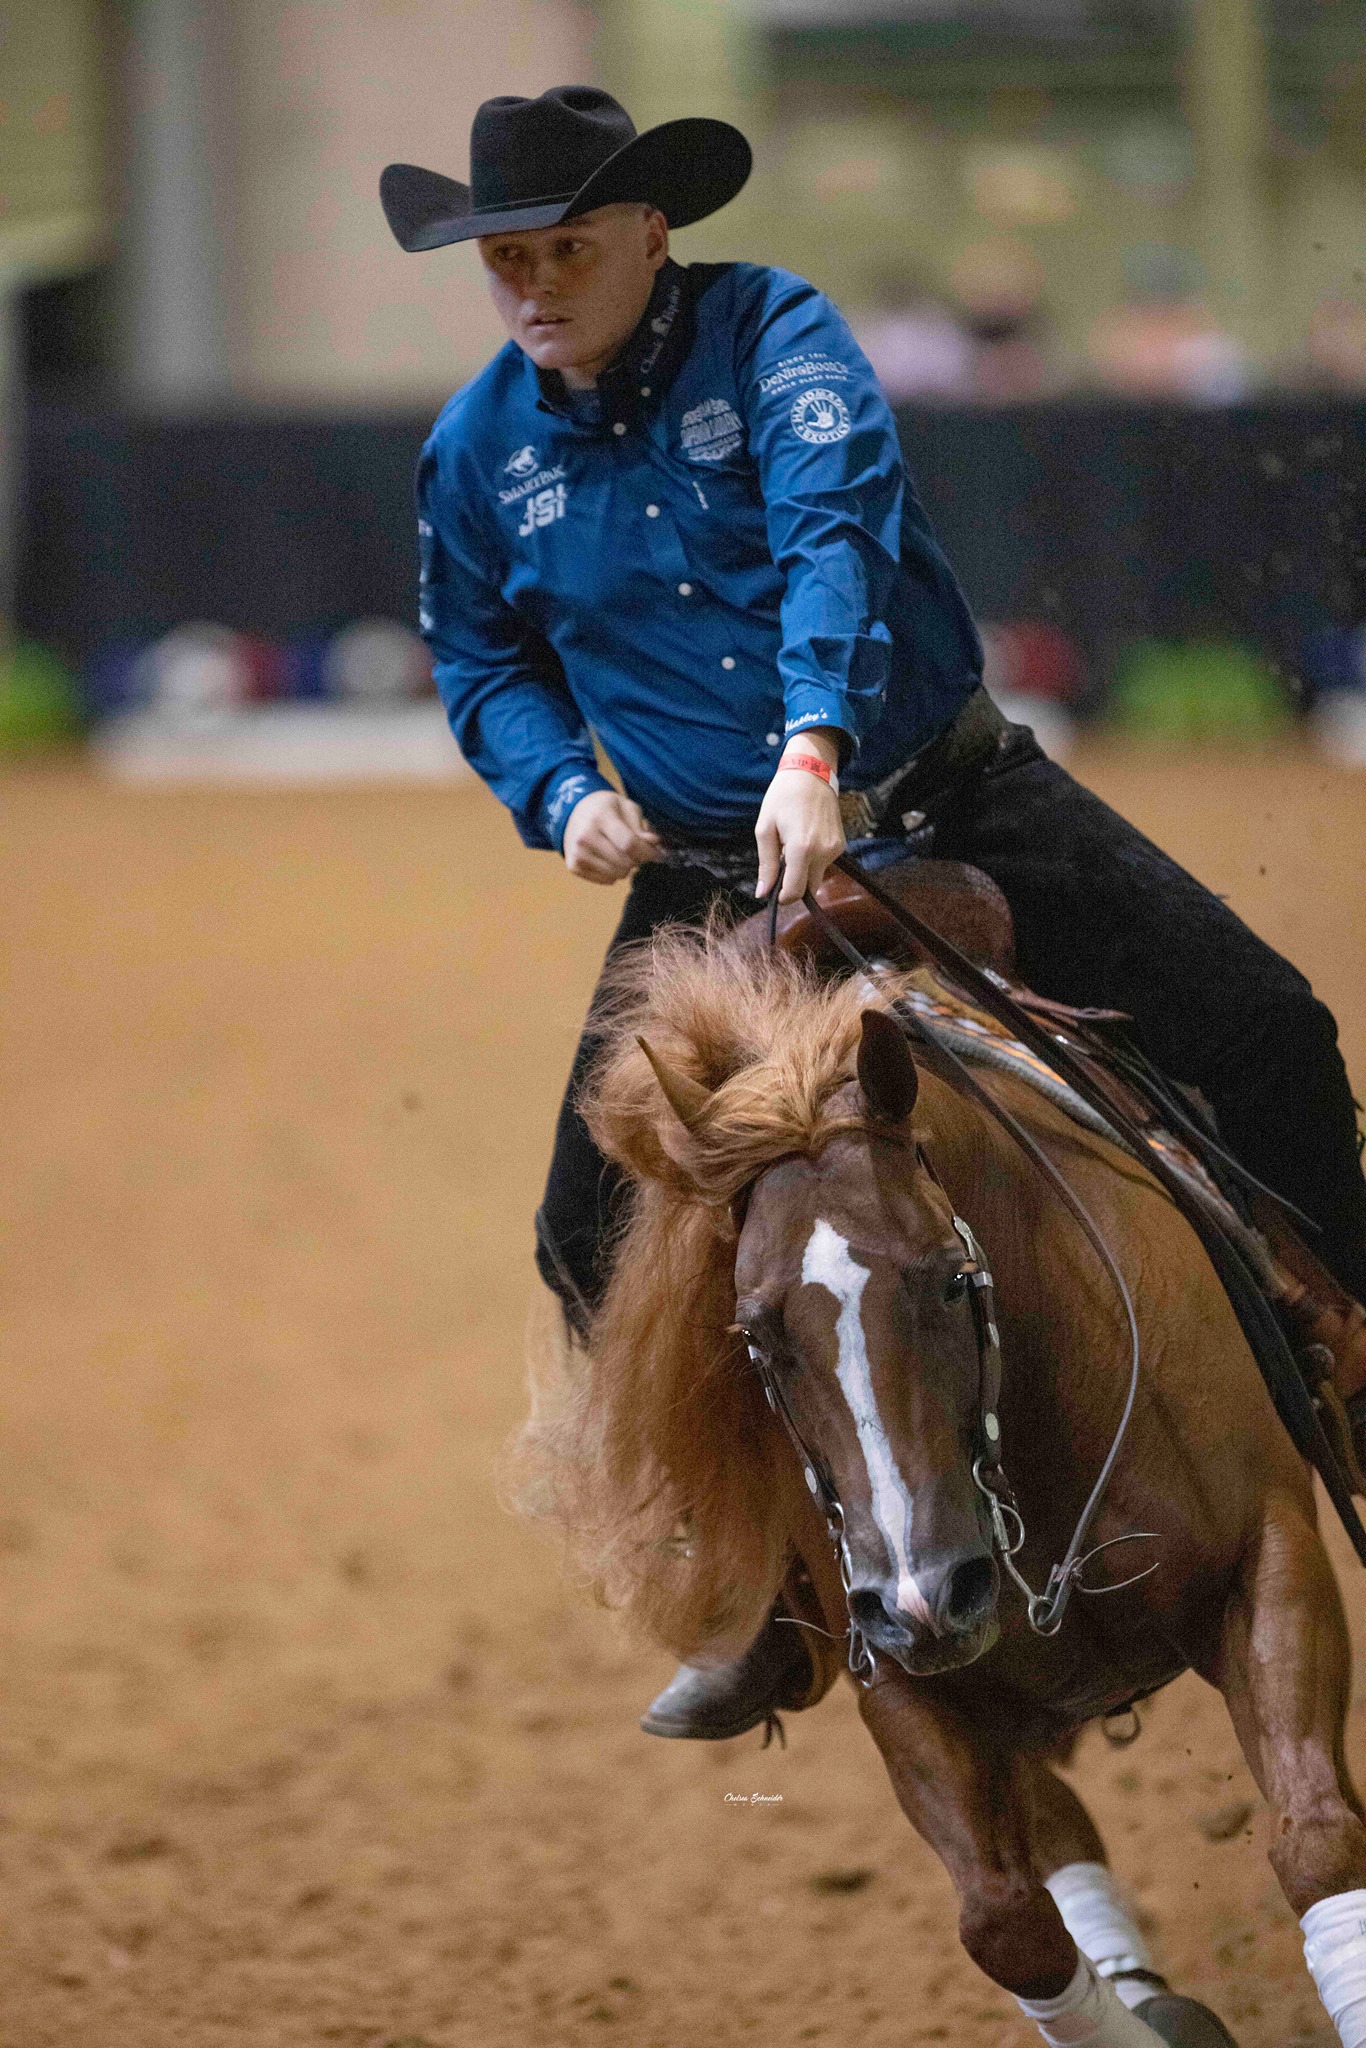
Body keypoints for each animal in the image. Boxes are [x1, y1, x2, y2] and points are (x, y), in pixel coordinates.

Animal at [505, 915, 1366, 2048]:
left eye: (953, 1280)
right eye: (757, 1334)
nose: (926, 1592)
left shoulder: (1269, 1557)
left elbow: (1316, 1838)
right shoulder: (904, 1680)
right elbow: (1007, 1923)